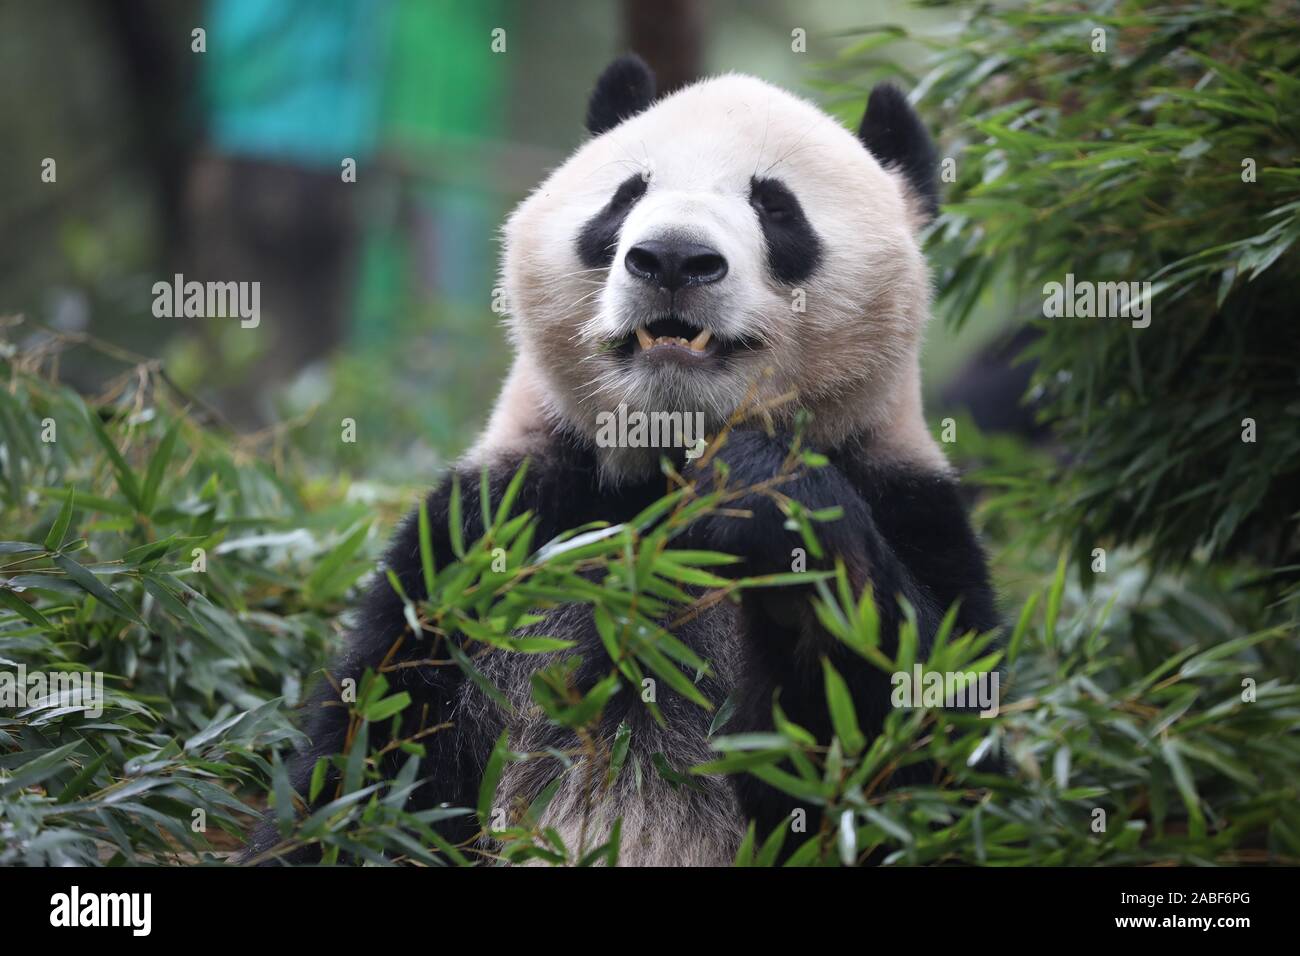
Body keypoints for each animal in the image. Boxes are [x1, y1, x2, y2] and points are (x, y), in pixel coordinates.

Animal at [245, 55, 997, 866]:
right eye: (628, 195)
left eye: (777, 207)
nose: (671, 258)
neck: (665, 464)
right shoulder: (482, 539)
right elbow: (367, 765)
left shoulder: (915, 513)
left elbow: (915, 762)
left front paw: (764, 500)